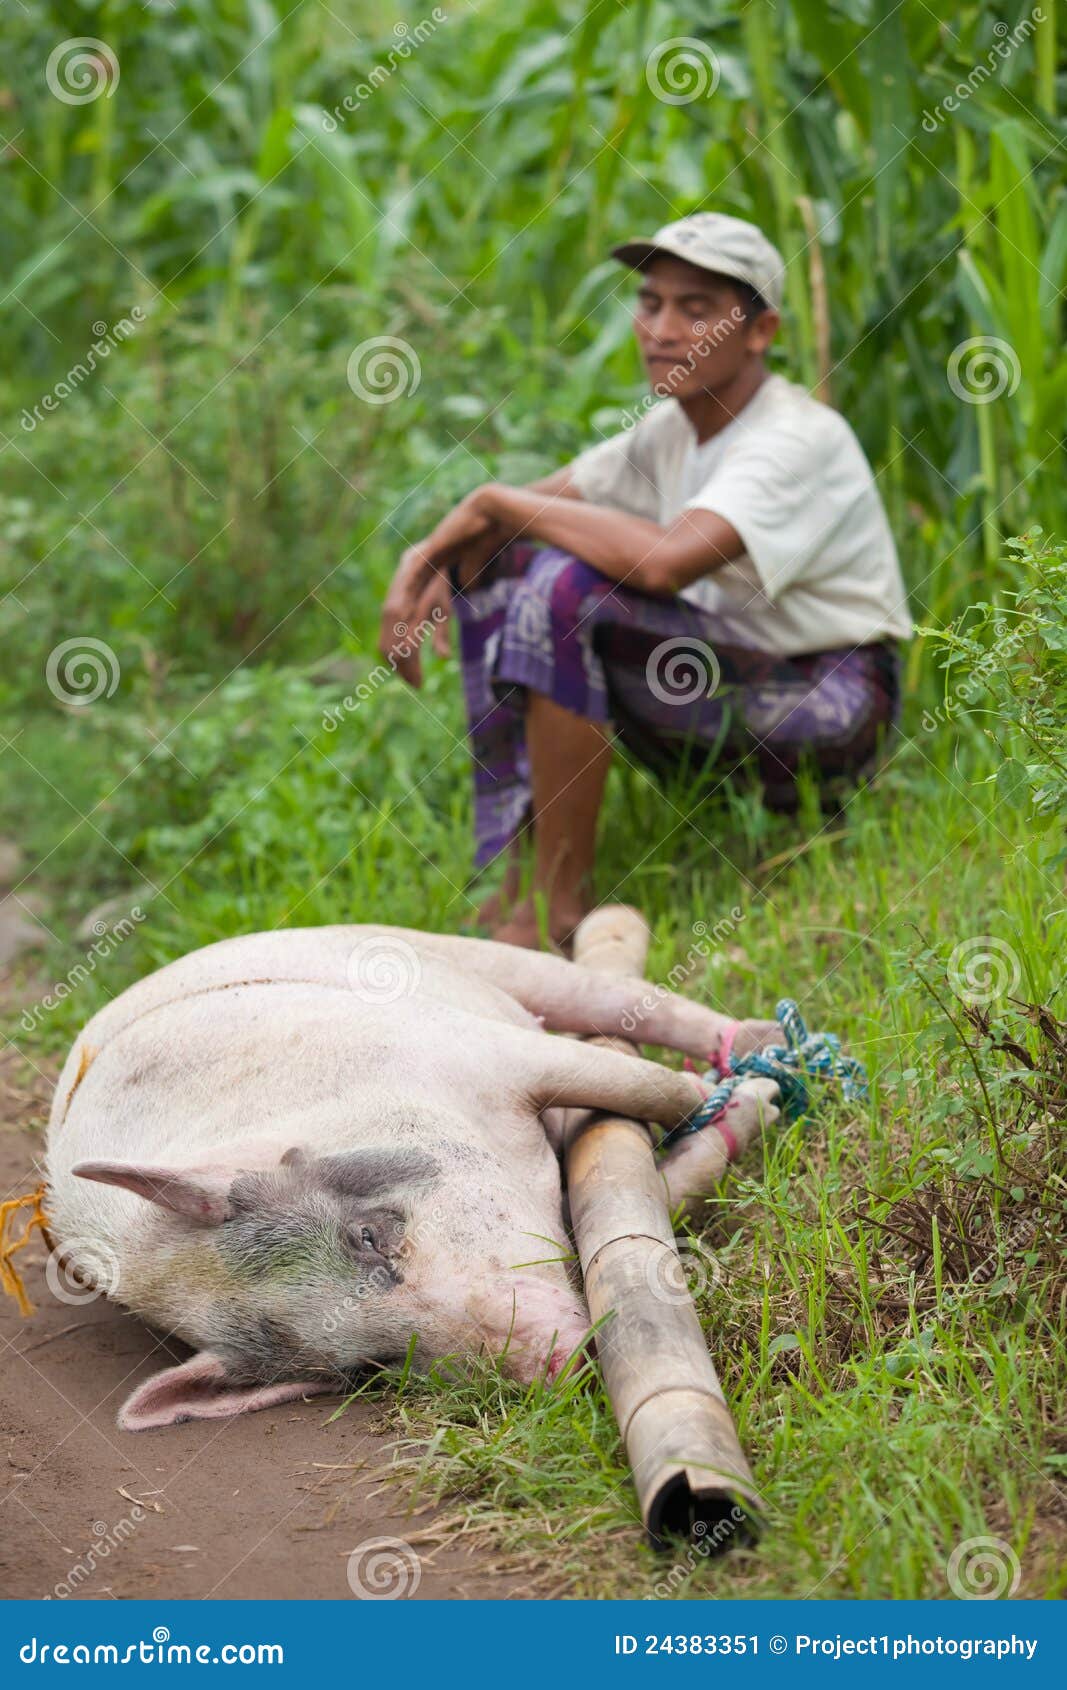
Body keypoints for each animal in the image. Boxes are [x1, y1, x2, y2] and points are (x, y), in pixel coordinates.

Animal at [45, 924, 780, 1430]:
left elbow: (651, 1088)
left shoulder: (472, 1051)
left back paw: (760, 1043)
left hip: (456, 957)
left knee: (617, 1002)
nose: (557, 1368)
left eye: (370, 1237)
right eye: (371, 1365)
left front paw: (754, 1098)